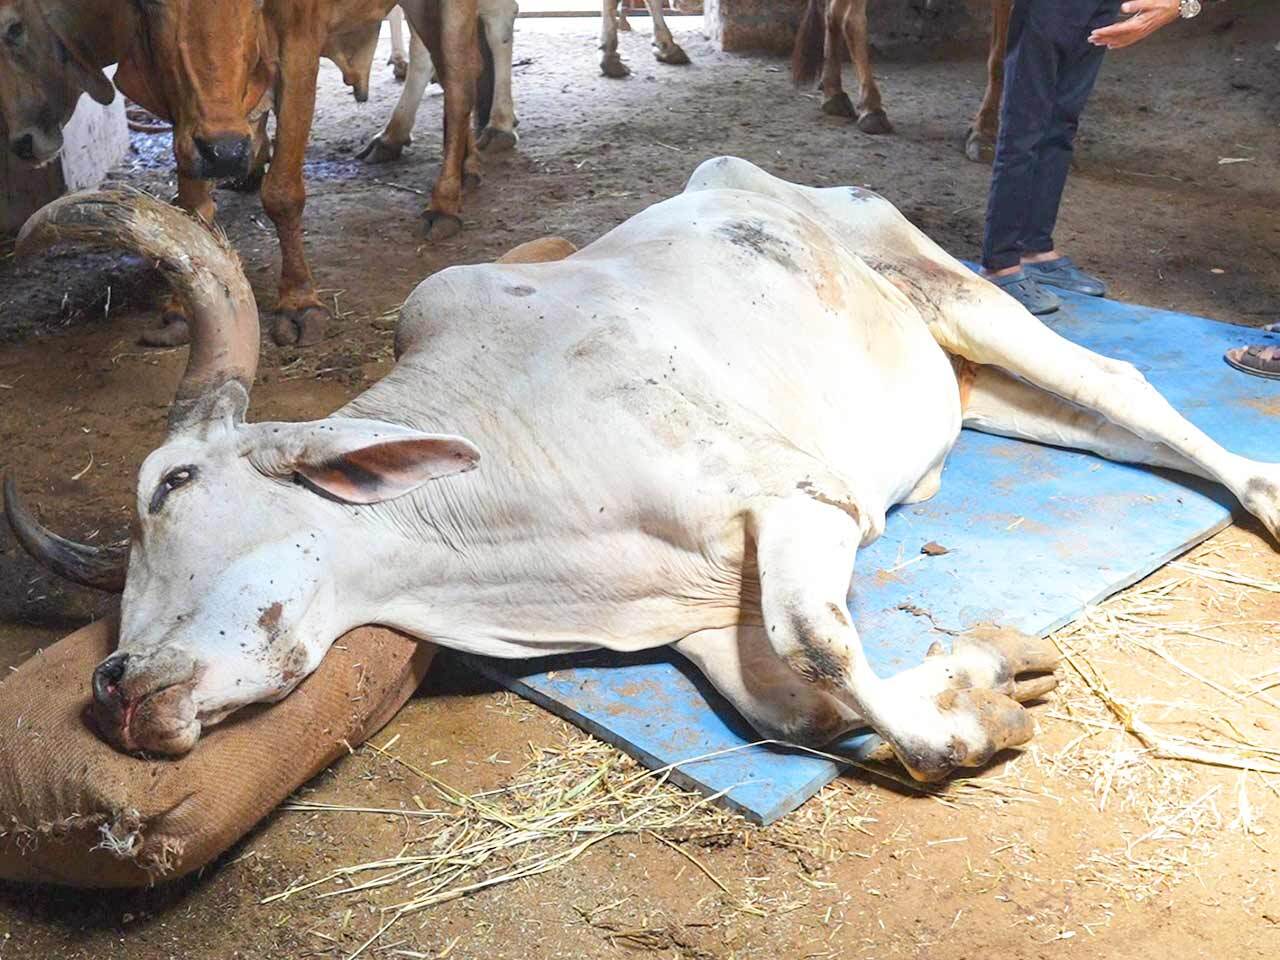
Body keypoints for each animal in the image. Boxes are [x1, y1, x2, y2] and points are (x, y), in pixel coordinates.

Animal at [0, 0, 490, 348]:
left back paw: (444, 200)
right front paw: (183, 306)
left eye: (12, 29)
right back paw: (464, 163)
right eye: (149, 1)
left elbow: (283, 193)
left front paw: (298, 303)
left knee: (459, 75)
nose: (226, 153)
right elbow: (190, 206)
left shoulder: (298, 46)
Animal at [8, 158, 1279, 782]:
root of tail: (756, 179)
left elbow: (822, 650)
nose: (111, 686)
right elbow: (793, 708)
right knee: (1104, 424)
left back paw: (1262, 493)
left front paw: (963, 723)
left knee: (1121, 382)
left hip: (947, 286)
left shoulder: (802, 498)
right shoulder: (703, 624)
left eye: (170, 486)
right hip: (970, 385)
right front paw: (986, 675)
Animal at [793, 0, 1011, 161]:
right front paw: (984, 132)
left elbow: (1000, 57)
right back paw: (871, 110)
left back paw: (833, 94)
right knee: (850, 20)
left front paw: (985, 131)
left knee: (833, 12)